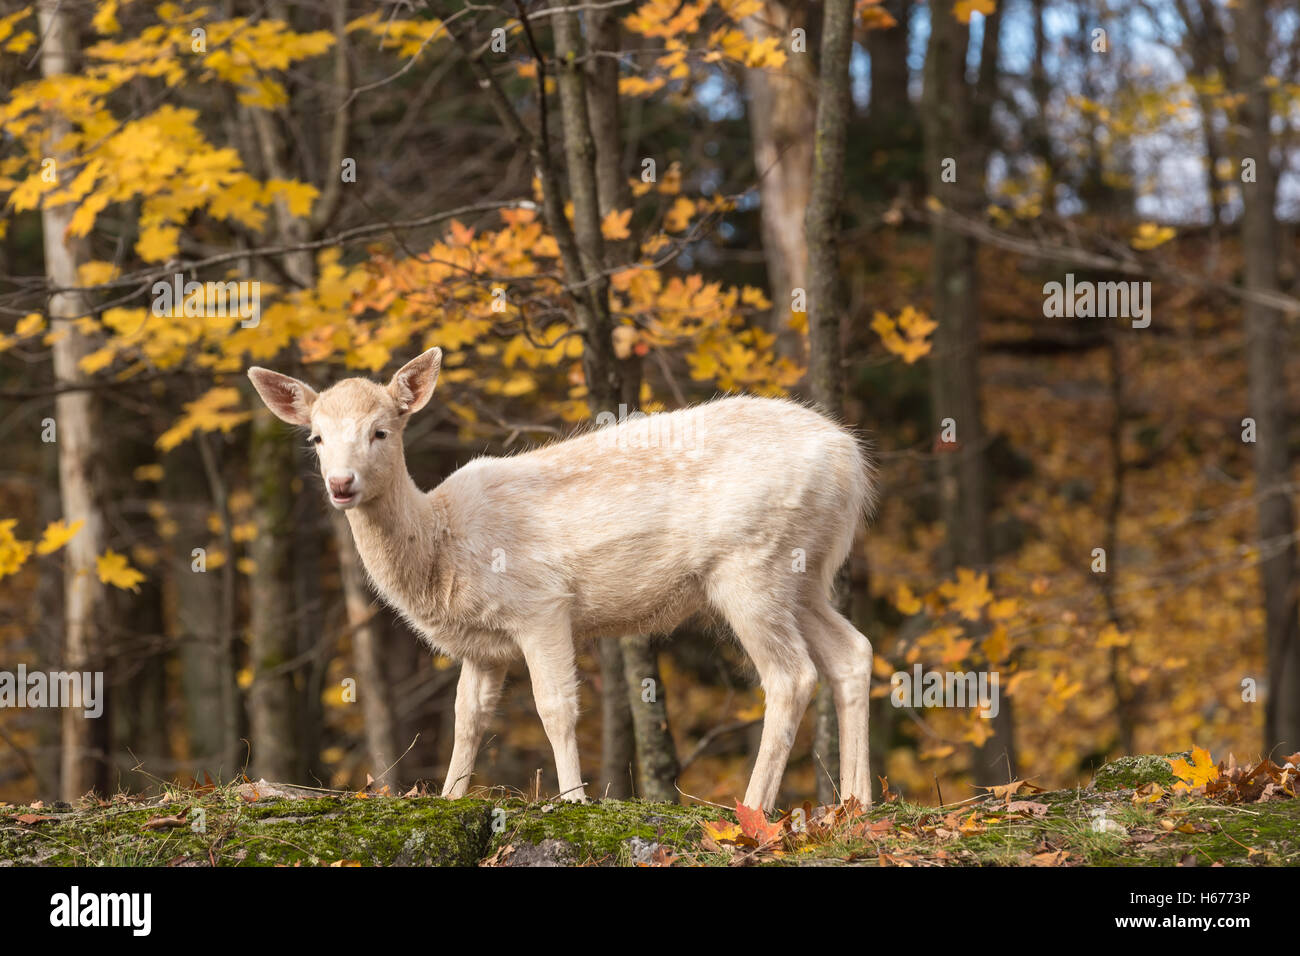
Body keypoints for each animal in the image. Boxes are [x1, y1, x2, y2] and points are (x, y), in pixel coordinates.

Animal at [248, 347, 877, 811]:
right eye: (316, 437)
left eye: (381, 431)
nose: (341, 484)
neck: (442, 549)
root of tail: (851, 461)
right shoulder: (483, 648)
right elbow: (467, 719)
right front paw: (450, 796)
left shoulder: (542, 605)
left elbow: (556, 706)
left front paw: (573, 800)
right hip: (805, 573)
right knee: (853, 650)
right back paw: (856, 806)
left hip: (750, 565)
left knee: (791, 675)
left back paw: (753, 809)